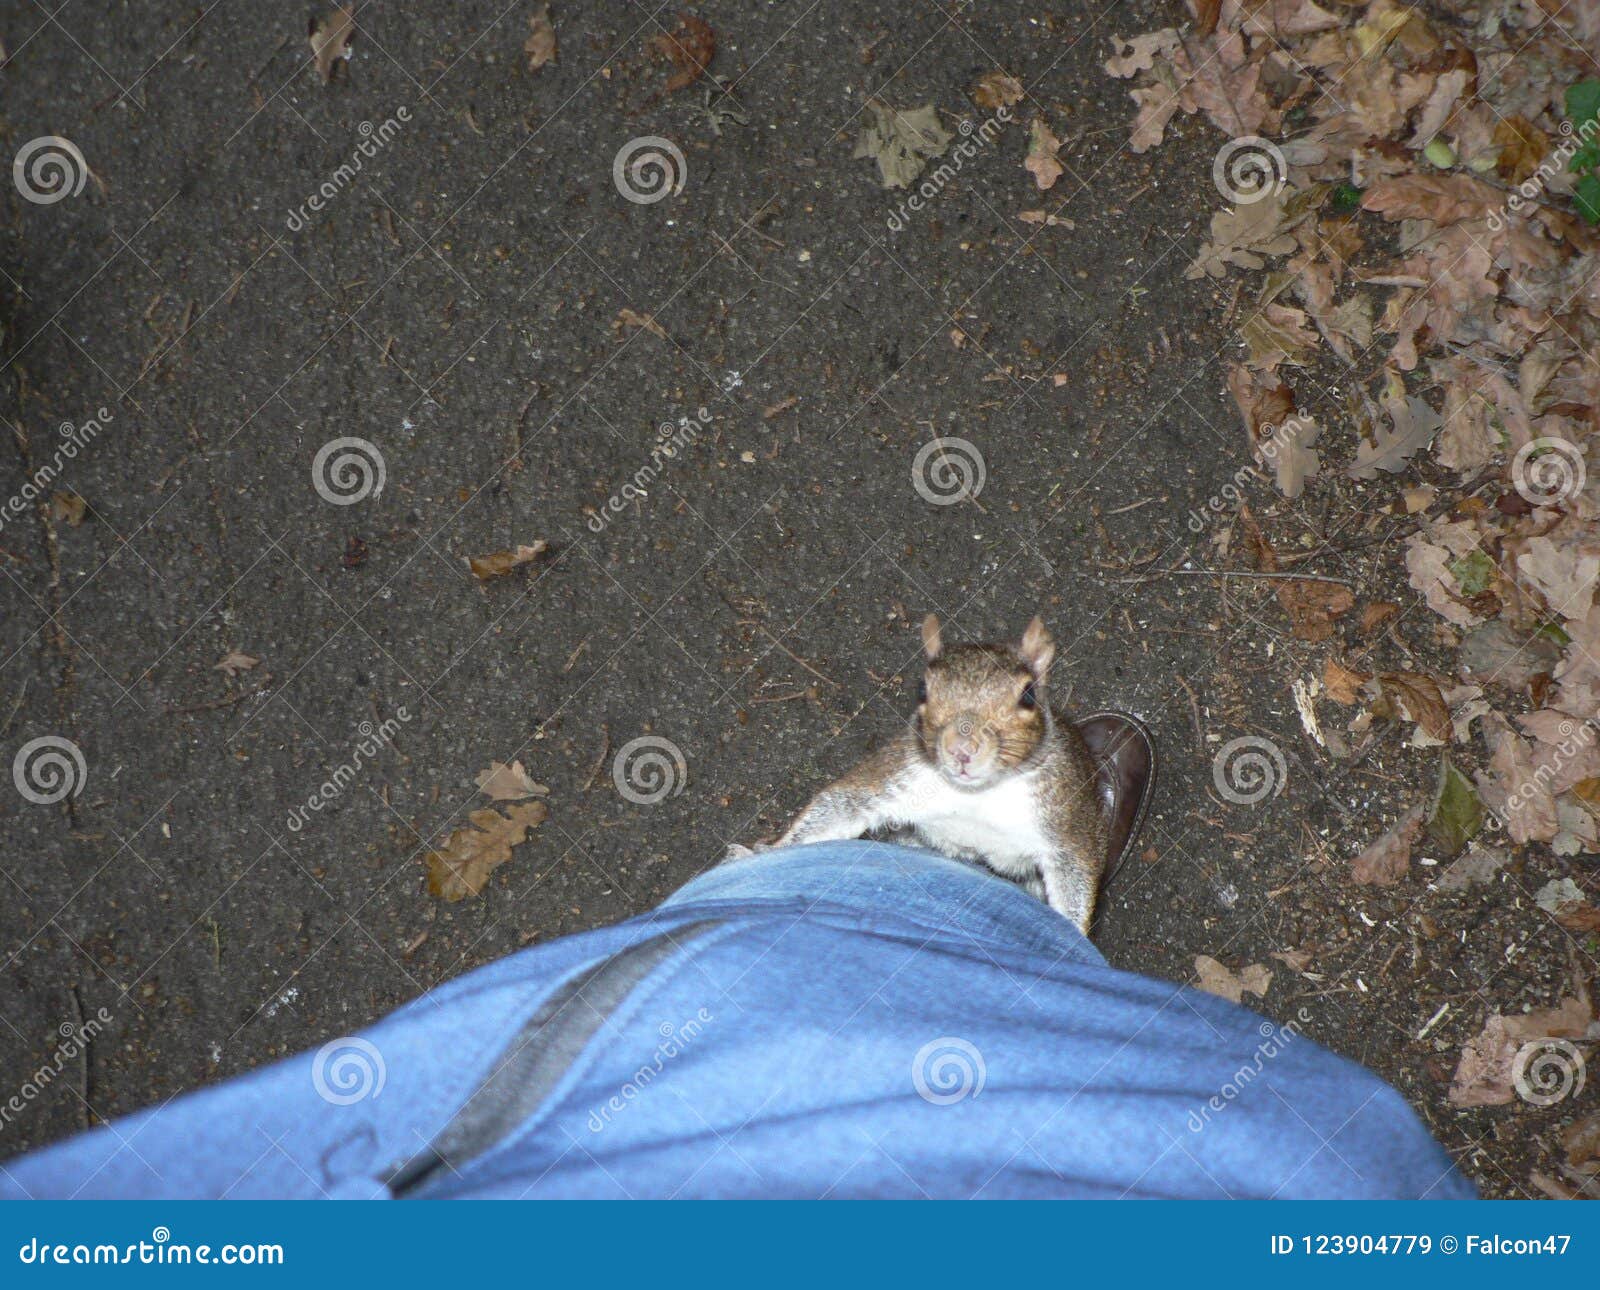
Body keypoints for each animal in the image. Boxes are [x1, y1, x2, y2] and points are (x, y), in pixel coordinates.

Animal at [773, 614, 1113, 933]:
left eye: (1028, 695)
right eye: (922, 689)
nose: (961, 748)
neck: (980, 794)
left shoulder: (1066, 819)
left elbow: (1074, 878)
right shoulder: (900, 772)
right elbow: (839, 806)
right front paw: (769, 851)